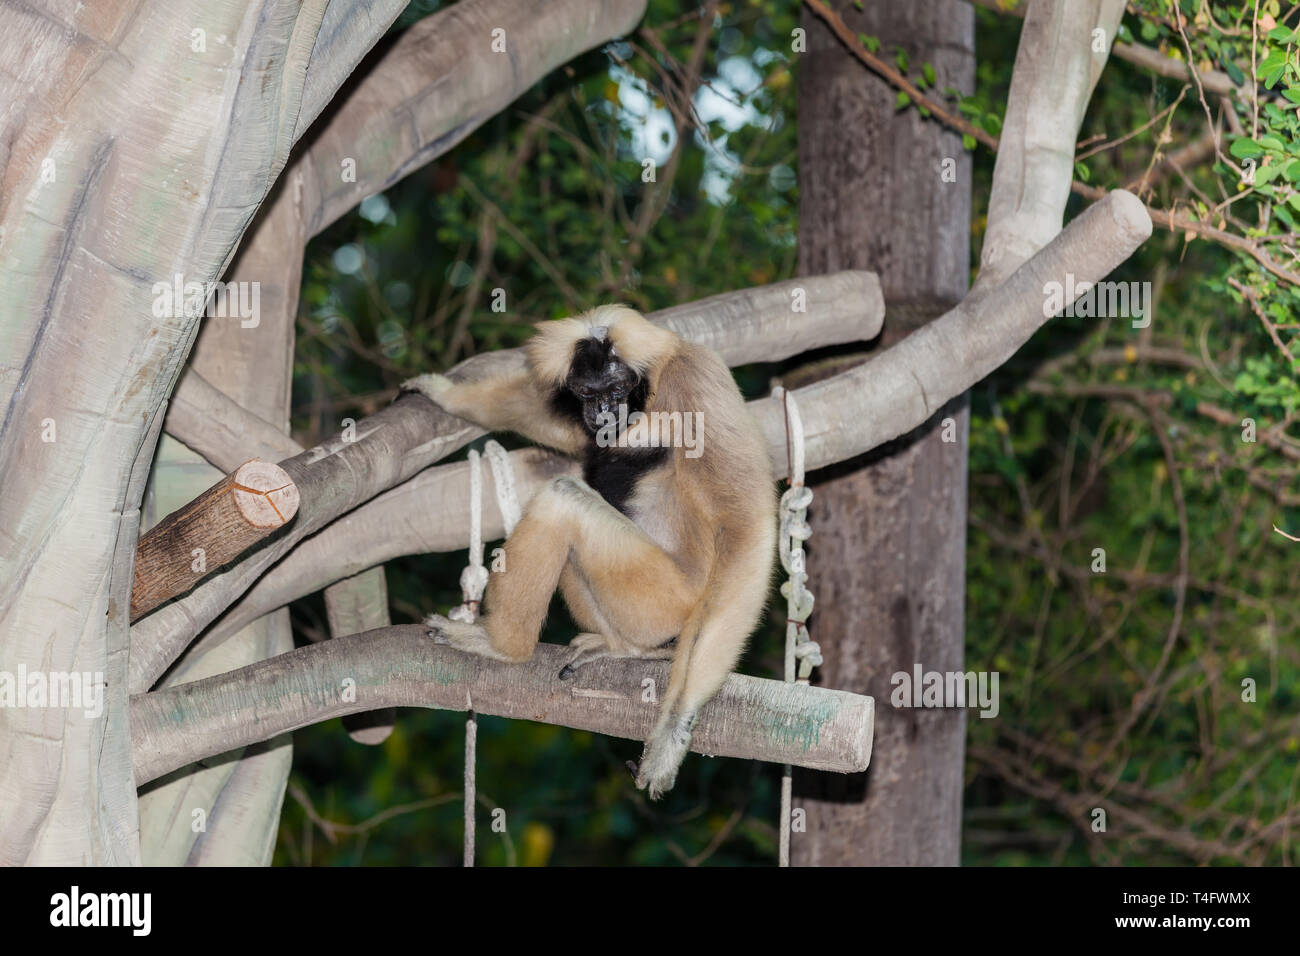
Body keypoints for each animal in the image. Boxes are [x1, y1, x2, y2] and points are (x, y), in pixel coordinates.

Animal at [403, 305, 776, 799]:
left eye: (616, 389)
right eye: (587, 392)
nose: (601, 412)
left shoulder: (695, 376)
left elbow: (746, 526)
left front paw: (673, 732)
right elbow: (561, 427)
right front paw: (448, 396)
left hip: (666, 600)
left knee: (562, 497)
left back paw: (503, 647)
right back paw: (626, 649)